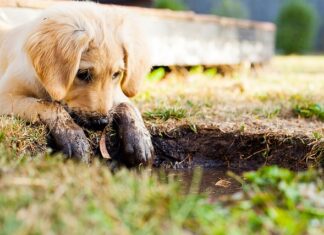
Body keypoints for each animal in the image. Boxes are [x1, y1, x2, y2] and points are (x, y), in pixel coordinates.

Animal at [0, 2, 154, 166]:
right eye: (83, 74)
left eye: (116, 74)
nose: (102, 123)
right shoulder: (5, 95)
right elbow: (48, 105)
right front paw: (73, 137)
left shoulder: (114, 93)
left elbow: (127, 104)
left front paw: (140, 139)